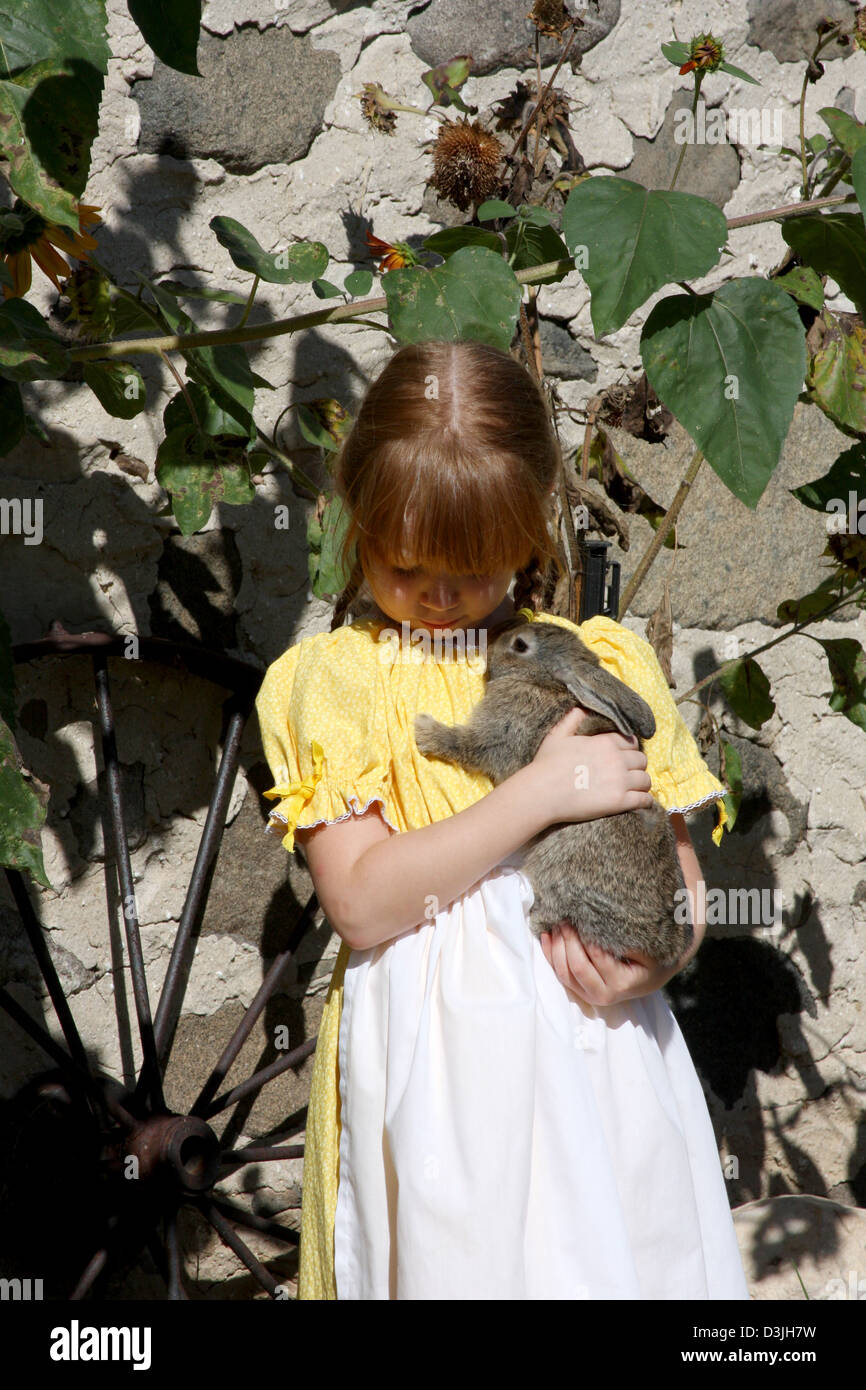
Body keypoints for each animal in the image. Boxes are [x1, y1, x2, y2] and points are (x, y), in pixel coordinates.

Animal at [413, 616, 691, 966]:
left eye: (520, 645)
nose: (490, 646)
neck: (546, 684)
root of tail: (661, 947)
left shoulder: (503, 735)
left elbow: (467, 744)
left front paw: (424, 731)